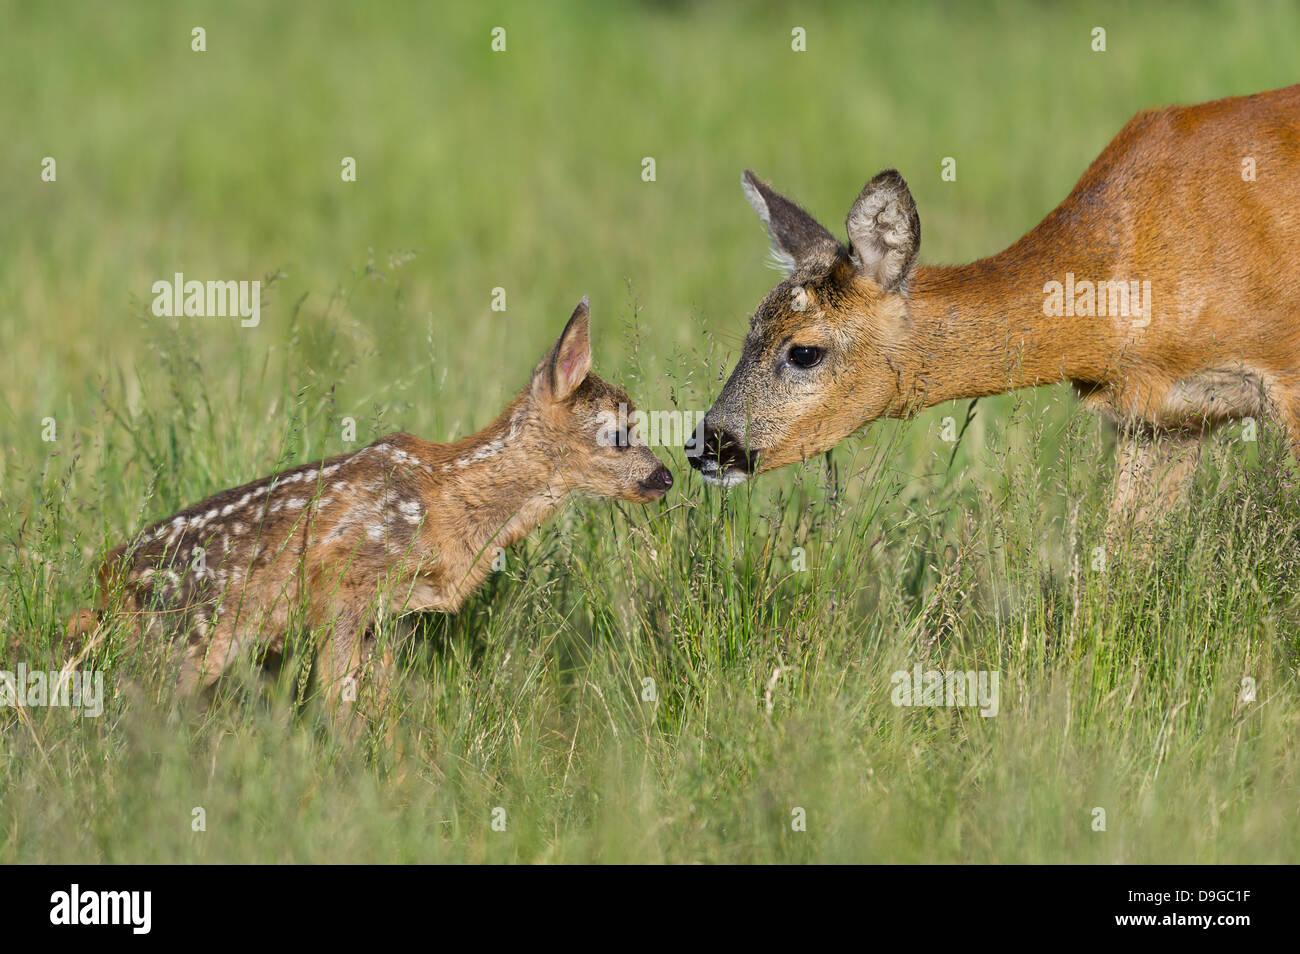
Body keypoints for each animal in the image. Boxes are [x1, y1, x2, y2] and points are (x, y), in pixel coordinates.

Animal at [70, 298, 673, 725]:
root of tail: (108, 577)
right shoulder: (341, 582)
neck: (447, 503)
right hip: (186, 639)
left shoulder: (383, 615)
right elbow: (338, 700)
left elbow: (377, 702)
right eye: (619, 433)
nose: (665, 478)